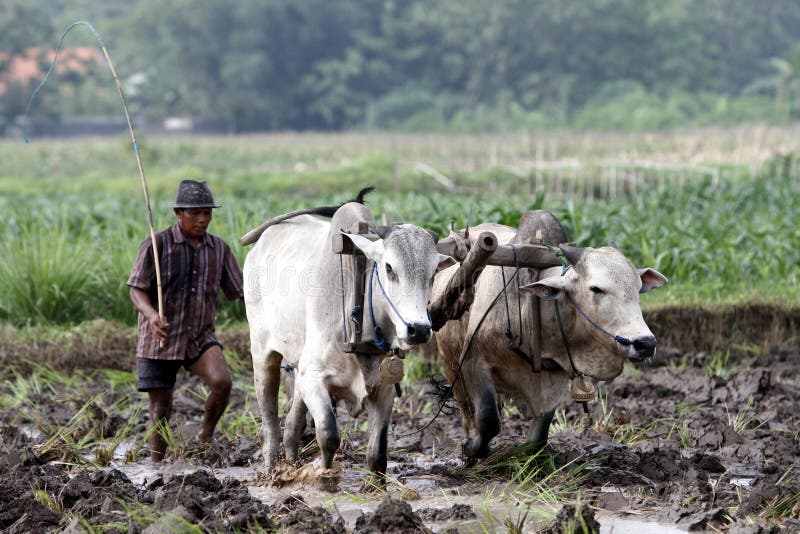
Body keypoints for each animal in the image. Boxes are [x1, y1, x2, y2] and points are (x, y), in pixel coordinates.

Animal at [243, 191, 454, 478]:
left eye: (433, 274)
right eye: (389, 268)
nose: (419, 329)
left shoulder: (384, 390)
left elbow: (377, 455)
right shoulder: (314, 378)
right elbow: (328, 436)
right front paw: (323, 477)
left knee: (293, 425)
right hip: (262, 353)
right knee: (270, 422)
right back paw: (269, 468)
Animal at [433, 210, 667, 459]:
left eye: (638, 288)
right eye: (596, 289)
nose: (645, 343)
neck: (529, 311)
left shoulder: (556, 376)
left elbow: (537, 436)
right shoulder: (472, 362)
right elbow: (488, 420)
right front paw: (473, 447)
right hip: (450, 362)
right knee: (466, 409)